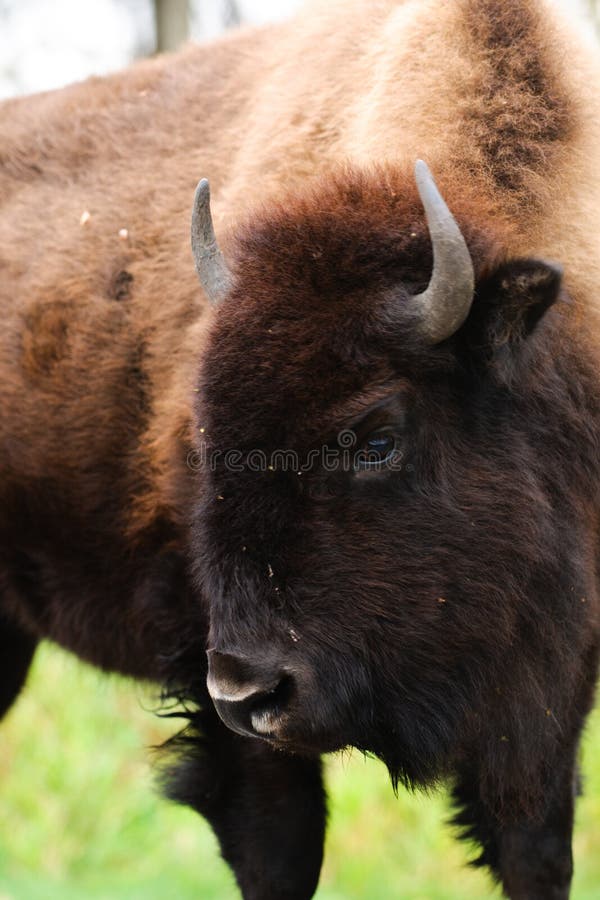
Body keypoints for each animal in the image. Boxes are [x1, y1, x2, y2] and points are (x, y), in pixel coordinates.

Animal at [1, 0, 599, 898]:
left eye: (377, 437)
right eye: (204, 430)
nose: (248, 690)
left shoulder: (548, 693)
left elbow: (538, 851)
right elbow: (280, 852)